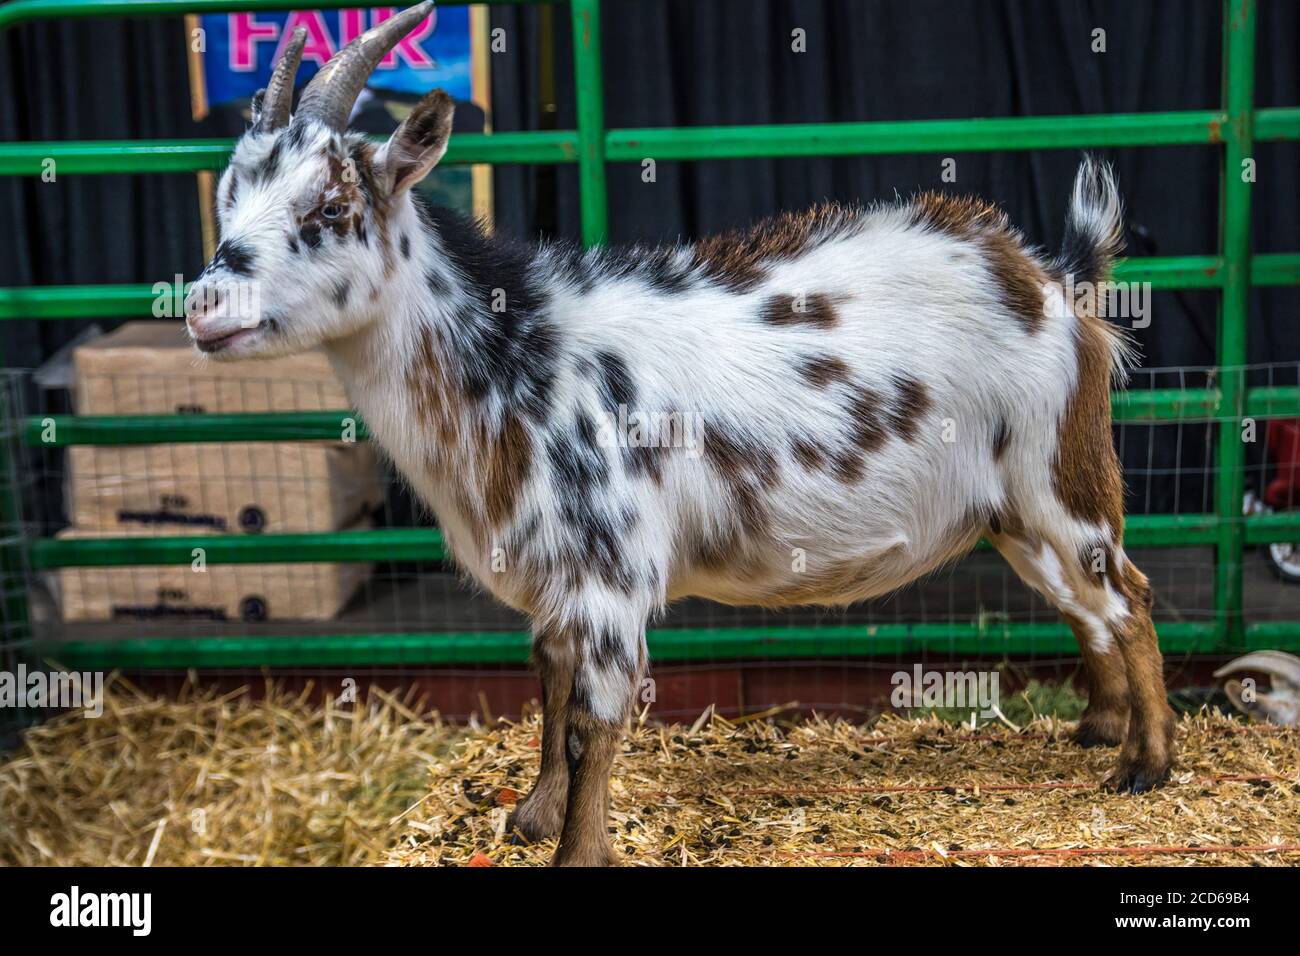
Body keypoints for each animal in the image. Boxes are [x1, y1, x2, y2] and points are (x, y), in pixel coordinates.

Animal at [185, 3, 1177, 866]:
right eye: (228, 198)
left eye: (331, 207)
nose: (202, 305)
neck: (522, 355)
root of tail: (1052, 276)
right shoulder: (557, 577)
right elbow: (546, 680)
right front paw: (531, 815)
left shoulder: (612, 573)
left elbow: (593, 724)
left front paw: (576, 850)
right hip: (1012, 509)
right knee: (1082, 603)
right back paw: (1099, 729)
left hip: (1062, 479)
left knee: (1126, 595)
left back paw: (1147, 765)